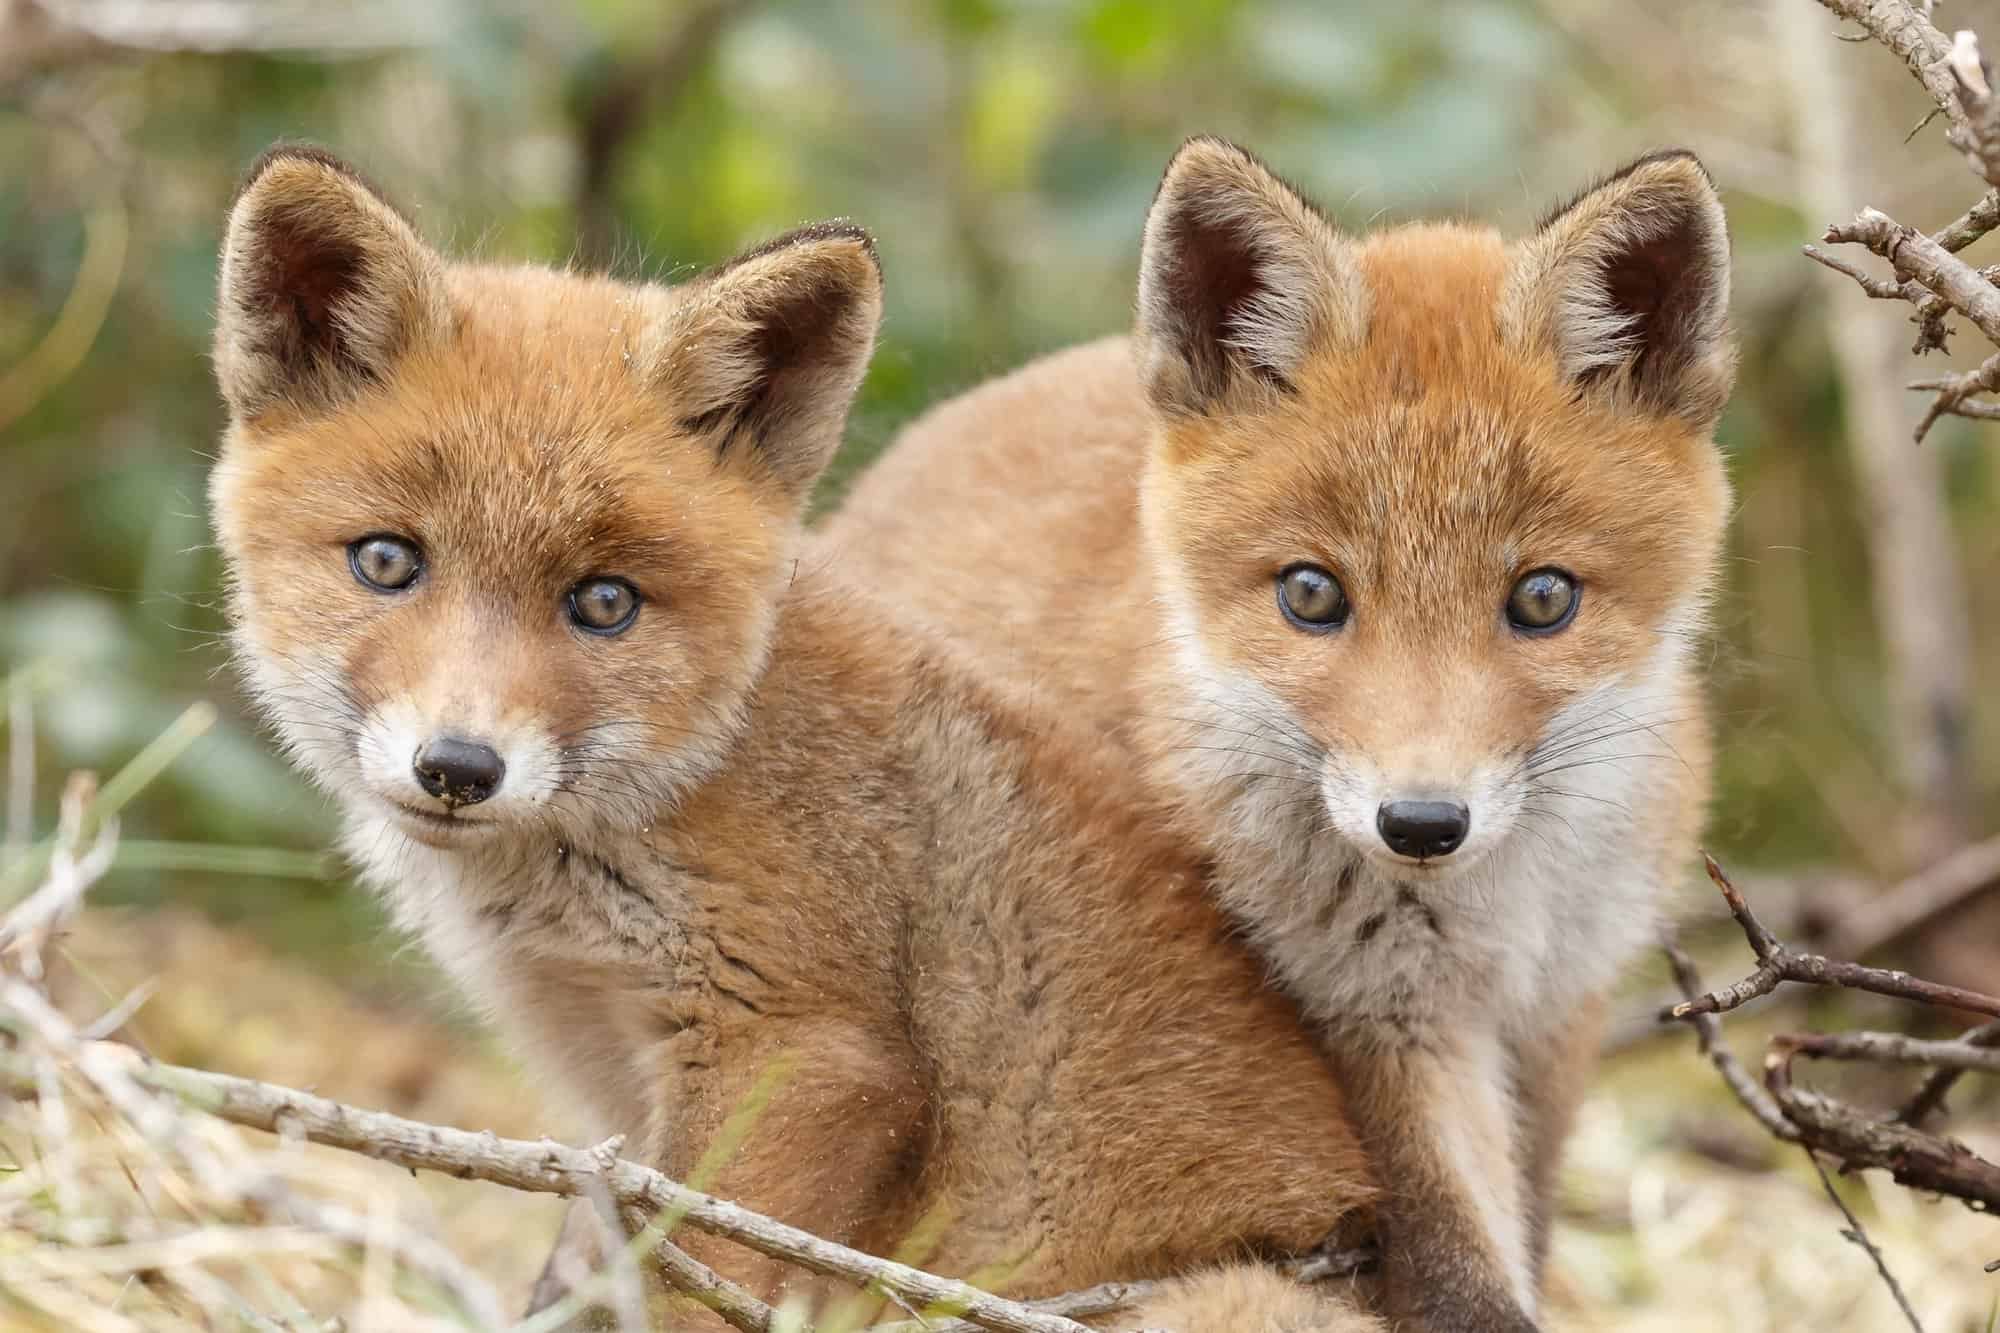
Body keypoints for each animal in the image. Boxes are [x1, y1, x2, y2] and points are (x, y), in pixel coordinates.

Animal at [205, 144, 1400, 1332]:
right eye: (387, 562)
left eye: (603, 603)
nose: (458, 768)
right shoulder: (623, 1109)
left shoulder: (802, 1049)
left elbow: (699, 1284)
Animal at [824, 137, 1735, 1332]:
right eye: (1311, 594)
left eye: (1542, 598)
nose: (1421, 823)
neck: (1501, 908)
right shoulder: (1369, 1020)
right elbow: (1464, 1276)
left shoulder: (1559, 1011)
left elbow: (1528, 1229)